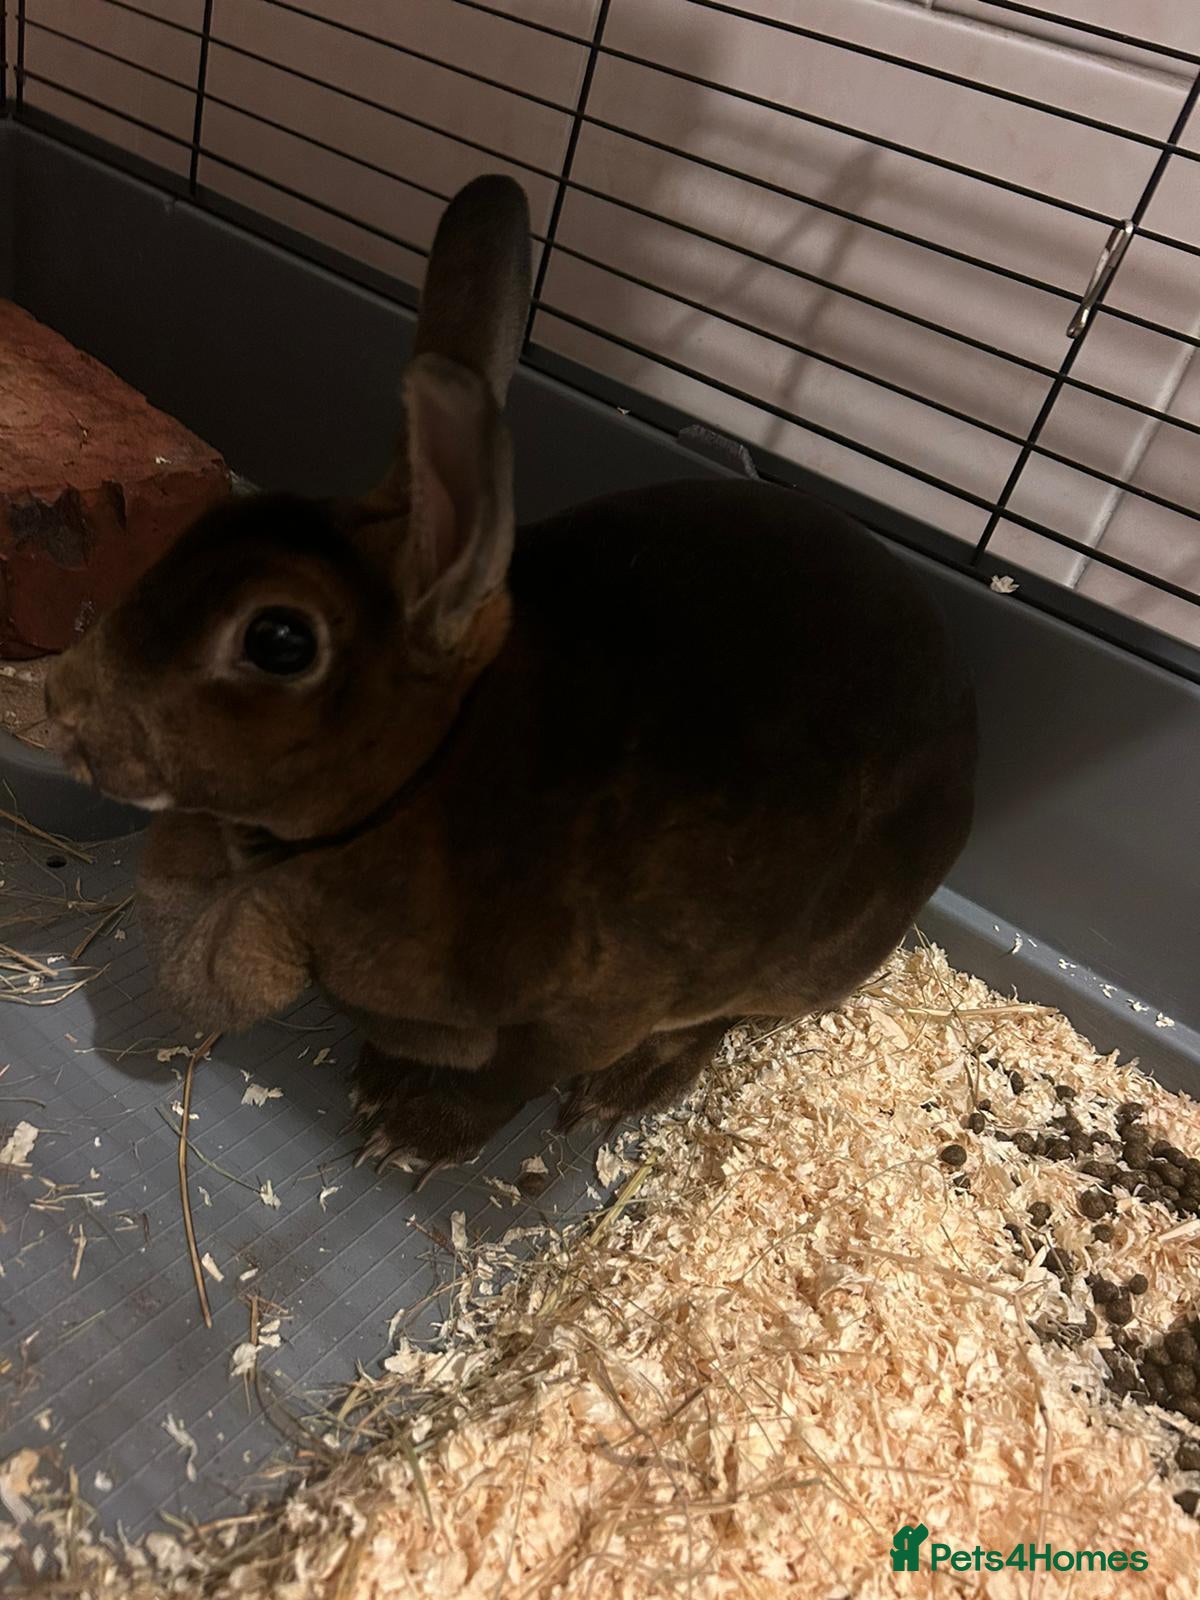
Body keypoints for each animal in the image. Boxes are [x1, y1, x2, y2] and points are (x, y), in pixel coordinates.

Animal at [45, 174, 976, 1170]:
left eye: (280, 641)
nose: (67, 707)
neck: (427, 778)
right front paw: (381, 1081)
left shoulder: (588, 1012)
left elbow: (508, 1084)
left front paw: (414, 1134)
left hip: (809, 952)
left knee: (716, 1023)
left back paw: (623, 1091)